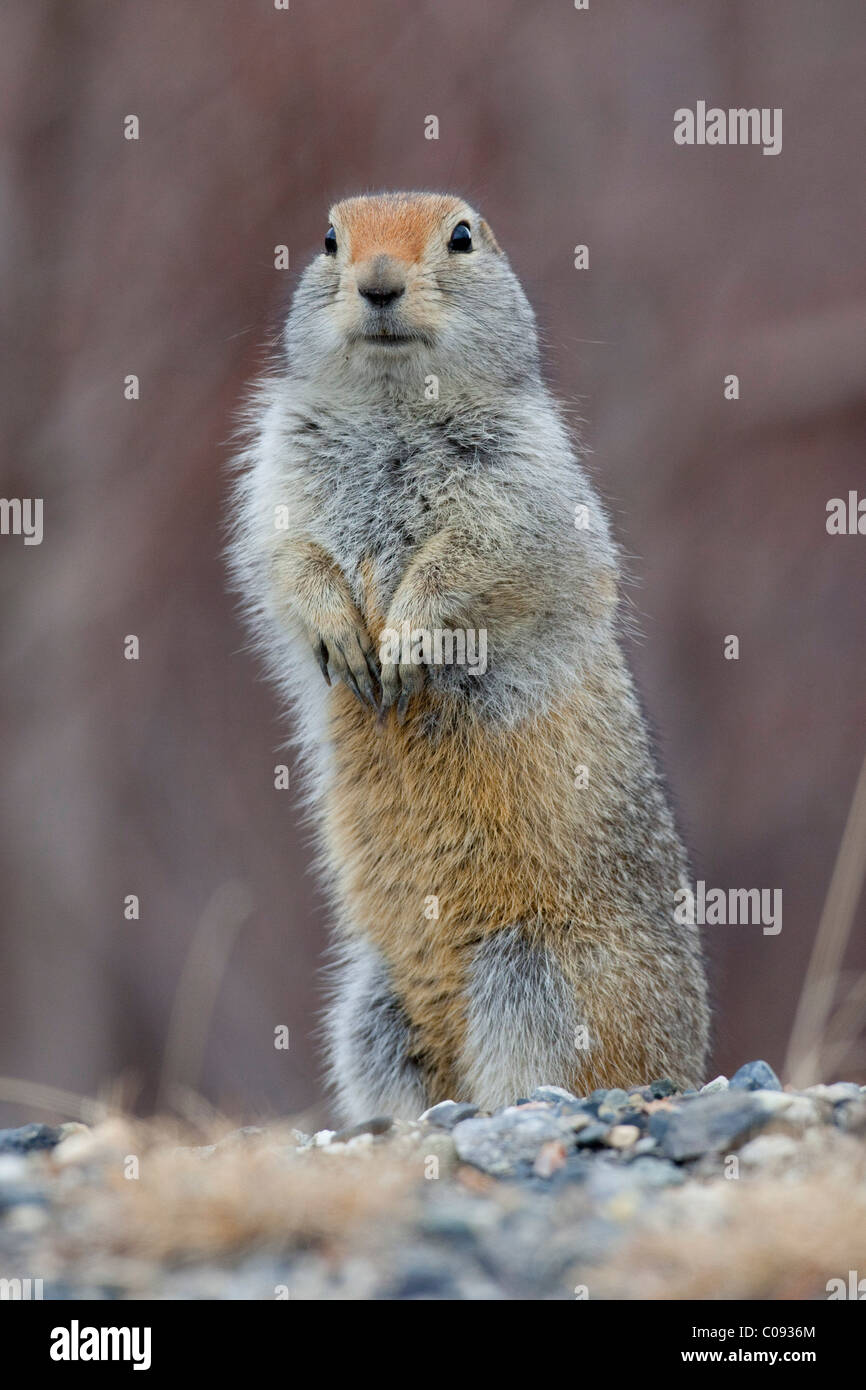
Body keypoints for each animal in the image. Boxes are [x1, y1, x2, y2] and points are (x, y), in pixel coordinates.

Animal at [229, 191, 709, 1121]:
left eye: (461, 236)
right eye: (329, 239)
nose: (379, 283)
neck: (392, 407)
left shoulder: (519, 482)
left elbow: (474, 557)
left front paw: (407, 641)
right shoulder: (275, 476)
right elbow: (285, 558)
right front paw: (342, 635)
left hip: (533, 977)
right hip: (369, 1003)